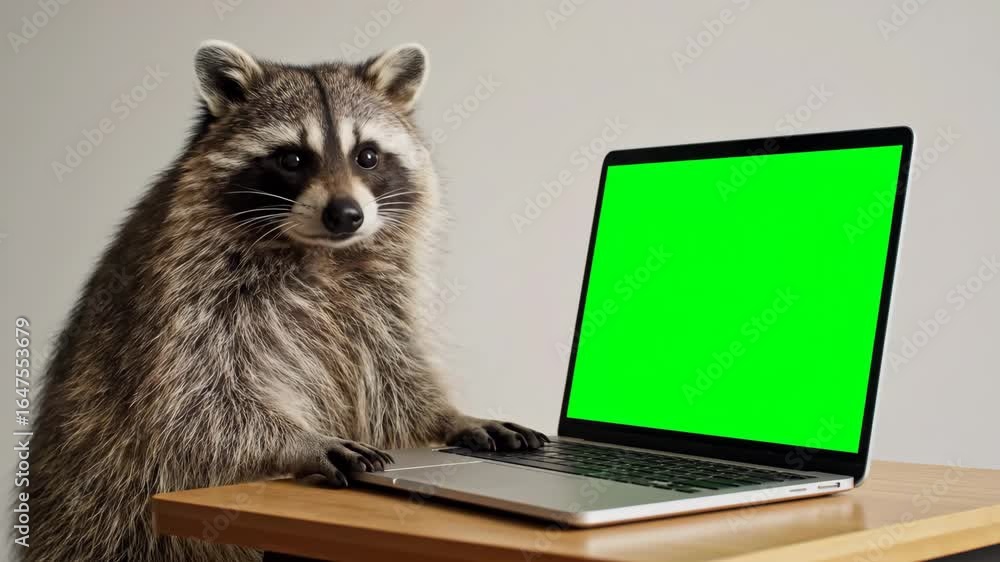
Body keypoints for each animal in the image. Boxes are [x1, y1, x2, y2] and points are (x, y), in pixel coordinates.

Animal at [25, 41, 547, 562]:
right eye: (292, 159)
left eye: (368, 156)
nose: (346, 214)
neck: (322, 254)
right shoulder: (186, 294)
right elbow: (195, 401)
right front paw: (301, 441)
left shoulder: (383, 299)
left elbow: (396, 380)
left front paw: (449, 417)